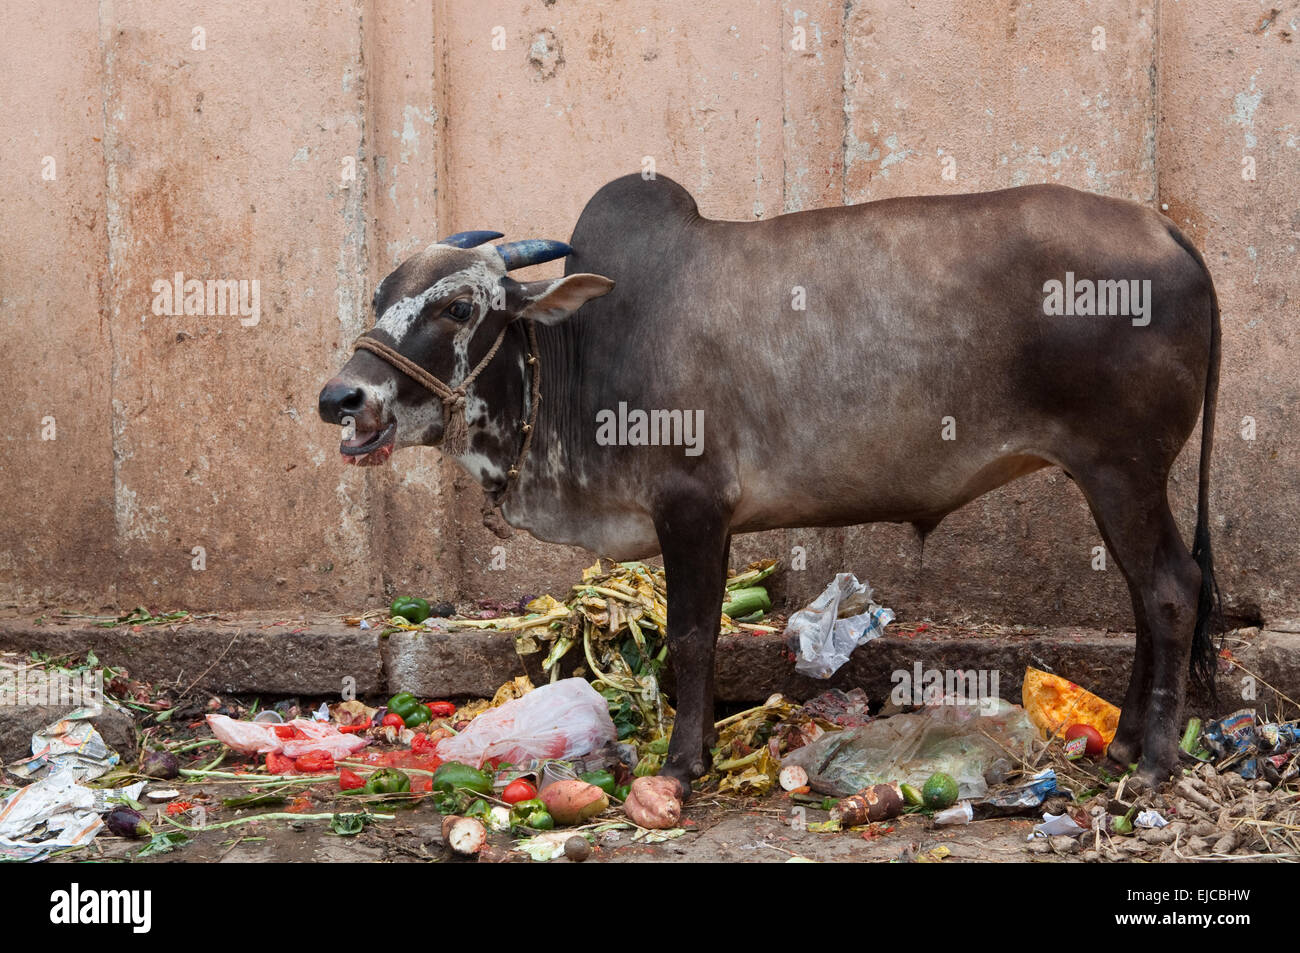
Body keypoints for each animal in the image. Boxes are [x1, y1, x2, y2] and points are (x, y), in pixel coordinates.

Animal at [319, 173, 1220, 793]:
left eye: (460, 308)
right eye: (382, 295)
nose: (341, 398)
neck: (580, 355)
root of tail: (1164, 229)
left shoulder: (692, 507)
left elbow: (691, 636)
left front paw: (681, 764)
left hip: (1122, 468)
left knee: (1171, 590)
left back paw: (1156, 761)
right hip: (1118, 479)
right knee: (1148, 597)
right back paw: (1128, 740)